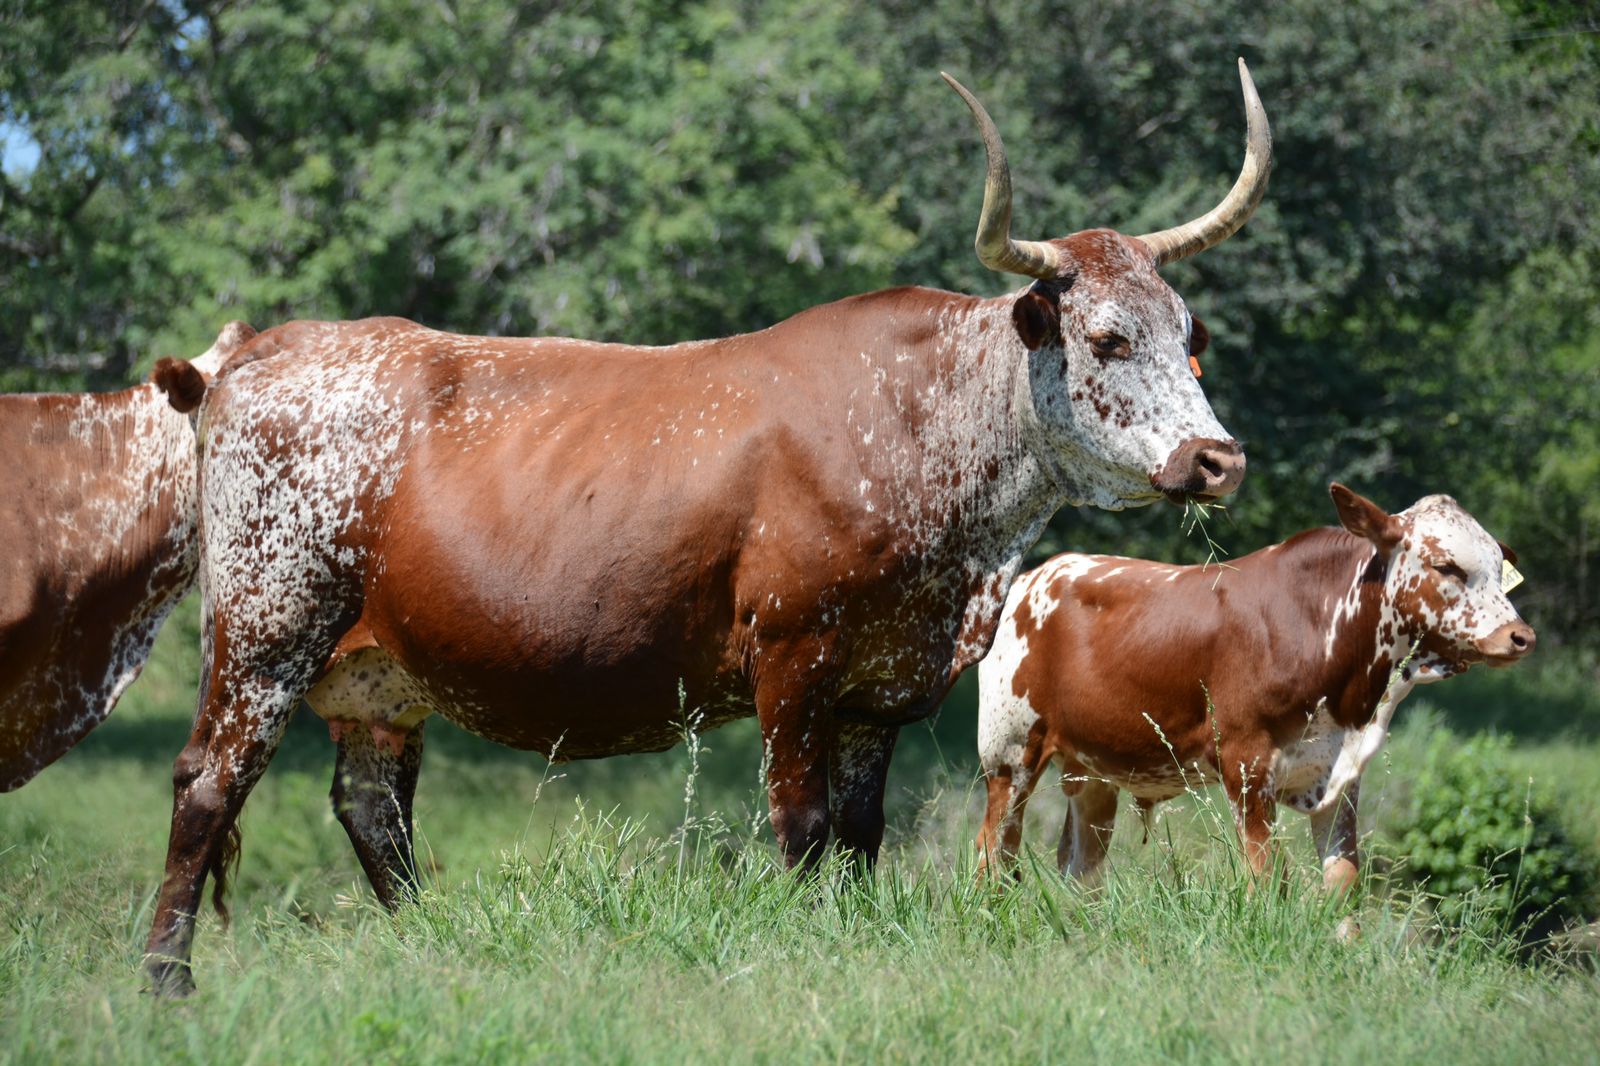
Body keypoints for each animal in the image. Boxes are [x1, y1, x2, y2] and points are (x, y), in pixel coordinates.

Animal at [142, 60, 1273, 995]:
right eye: (1108, 338)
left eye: (1192, 334)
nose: (1219, 458)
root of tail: (254, 355)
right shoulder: (792, 656)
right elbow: (803, 828)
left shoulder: (880, 686)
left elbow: (862, 834)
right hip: (266, 629)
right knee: (208, 783)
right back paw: (166, 978)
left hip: (377, 677)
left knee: (371, 804)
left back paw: (425, 943)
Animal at [975, 483, 1535, 899]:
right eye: (1447, 567)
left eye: (1498, 569)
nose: (1521, 636)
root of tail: (1033, 575)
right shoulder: (1246, 764)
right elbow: (1269, 879)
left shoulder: (1339, 775)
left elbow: (1343, 882)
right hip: (1011, 753)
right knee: (992, 849)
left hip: (1093, 769)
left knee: (1080, 865)